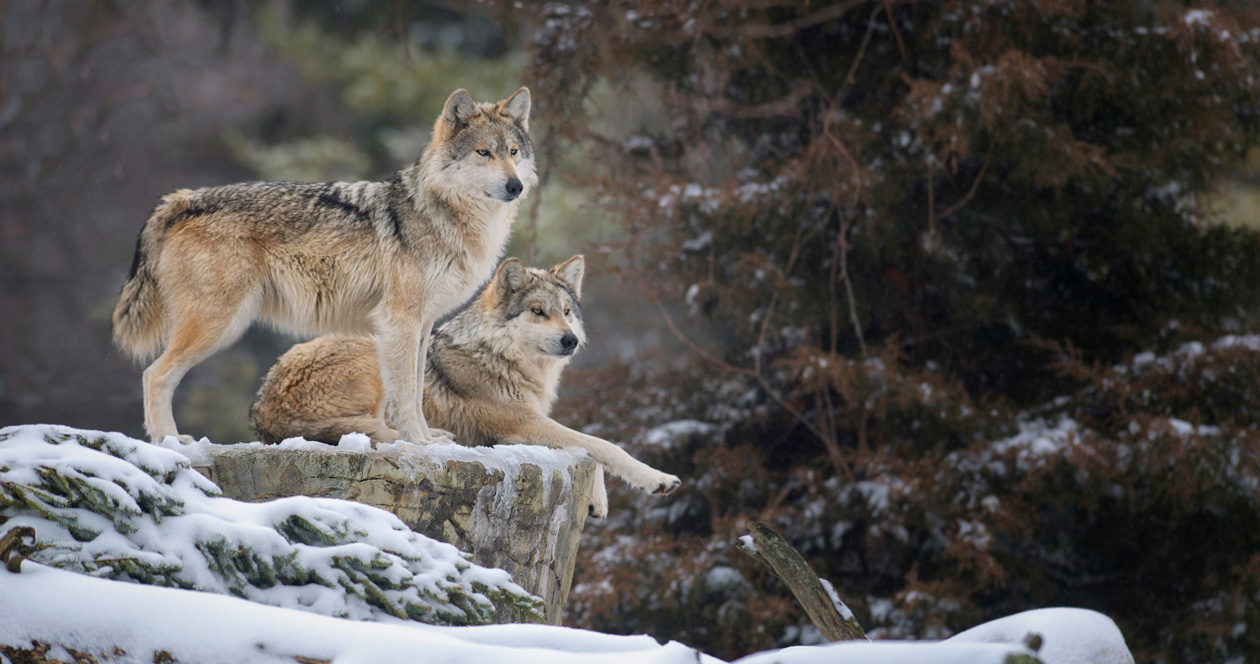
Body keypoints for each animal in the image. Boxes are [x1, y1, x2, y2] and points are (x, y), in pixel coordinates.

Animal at [112, 88, 536, 445]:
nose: (515, 186)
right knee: (154, 375)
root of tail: (183, 198)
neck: (446, 216)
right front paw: (419, 443)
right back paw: (169, 440)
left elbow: (416, 392)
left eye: (513, 151)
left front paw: (428, 439)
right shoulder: (399, 319)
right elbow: (404, 396)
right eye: (483, 152)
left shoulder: (422, 324)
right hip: (220, 324)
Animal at [249, 256, 682, 516]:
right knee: (386, 431)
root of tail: (262, 408)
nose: (570, 340)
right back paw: (438, 438)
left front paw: (597, 501)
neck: (502, 358)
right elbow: (601, 445)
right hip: (379, 353)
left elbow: (587, 447)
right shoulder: (521, 424)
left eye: (566, 312)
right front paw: (657, 479)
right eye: (537, 312)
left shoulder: (528, 425)